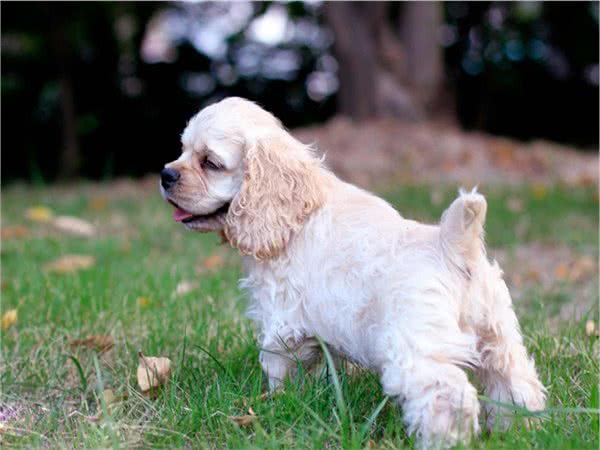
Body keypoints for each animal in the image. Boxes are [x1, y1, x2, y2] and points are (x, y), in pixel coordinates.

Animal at [162, 96, 548, 448]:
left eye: (210, 163)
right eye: (182, 150)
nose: (166, 174)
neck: (298, 213)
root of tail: (452, 246)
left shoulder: (282, 324)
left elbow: (280, 370)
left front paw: (275, 403)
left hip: (417, 350)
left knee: (448, 395)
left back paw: (444, 440)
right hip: (498, 339)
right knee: (516, 385)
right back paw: (521, 431)